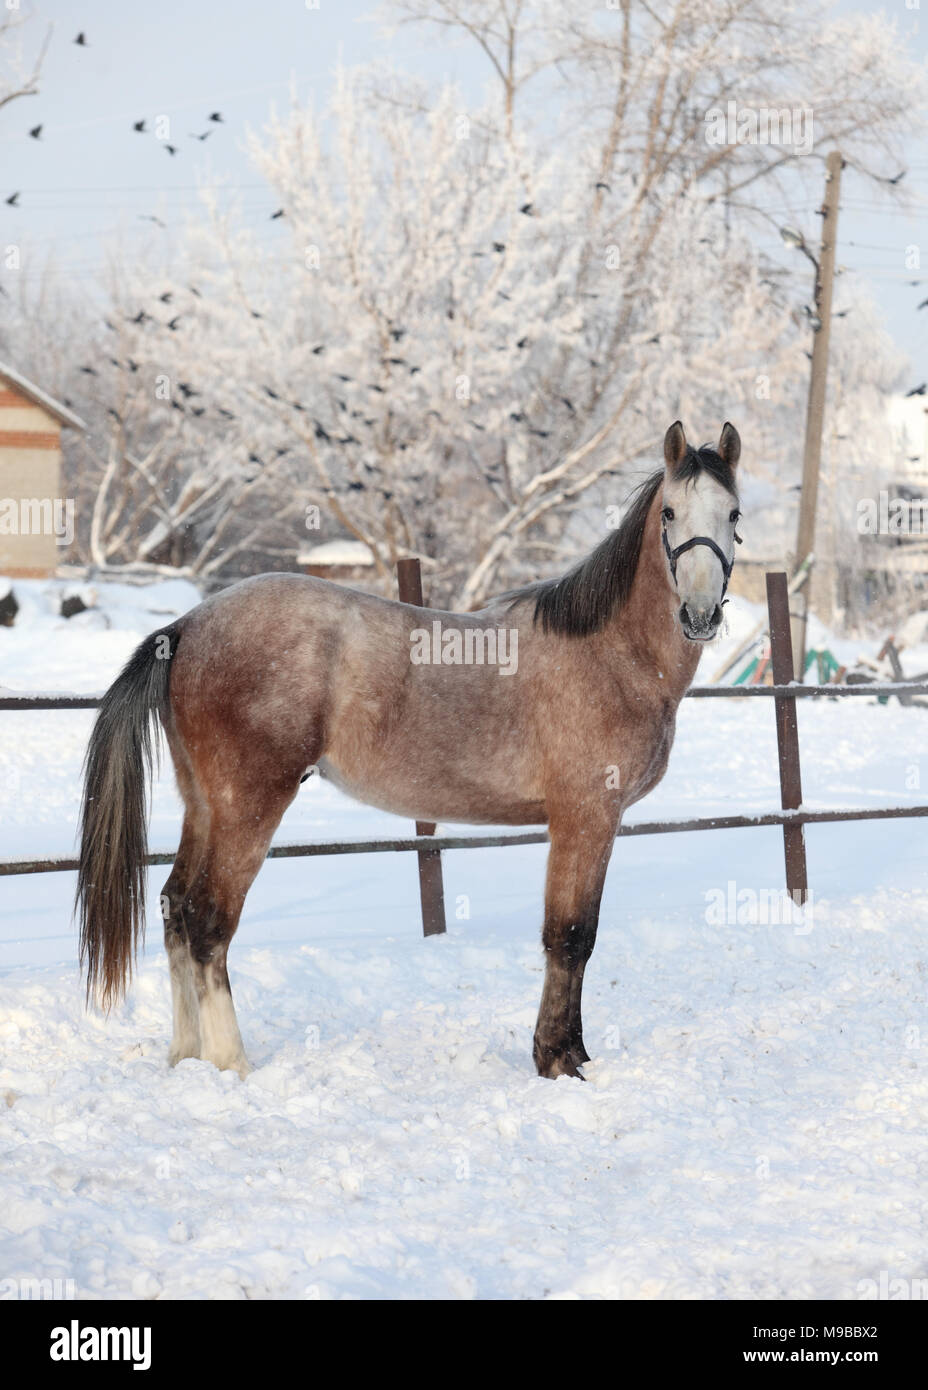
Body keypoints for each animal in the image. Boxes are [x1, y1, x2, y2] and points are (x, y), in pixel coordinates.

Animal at [77, 419, 741, 1080]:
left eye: (733, 514)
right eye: (670, 513)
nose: (700, 614)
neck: (611, 656)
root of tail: (187, 625)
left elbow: (579, 936)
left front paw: (567, 1051)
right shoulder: (586, 817)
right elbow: (571, 936)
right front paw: (559, 1059)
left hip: (204, 804)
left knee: (174, 909)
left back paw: (186, 1057)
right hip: (247, 806)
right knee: (207, 922)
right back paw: (230, 1064)